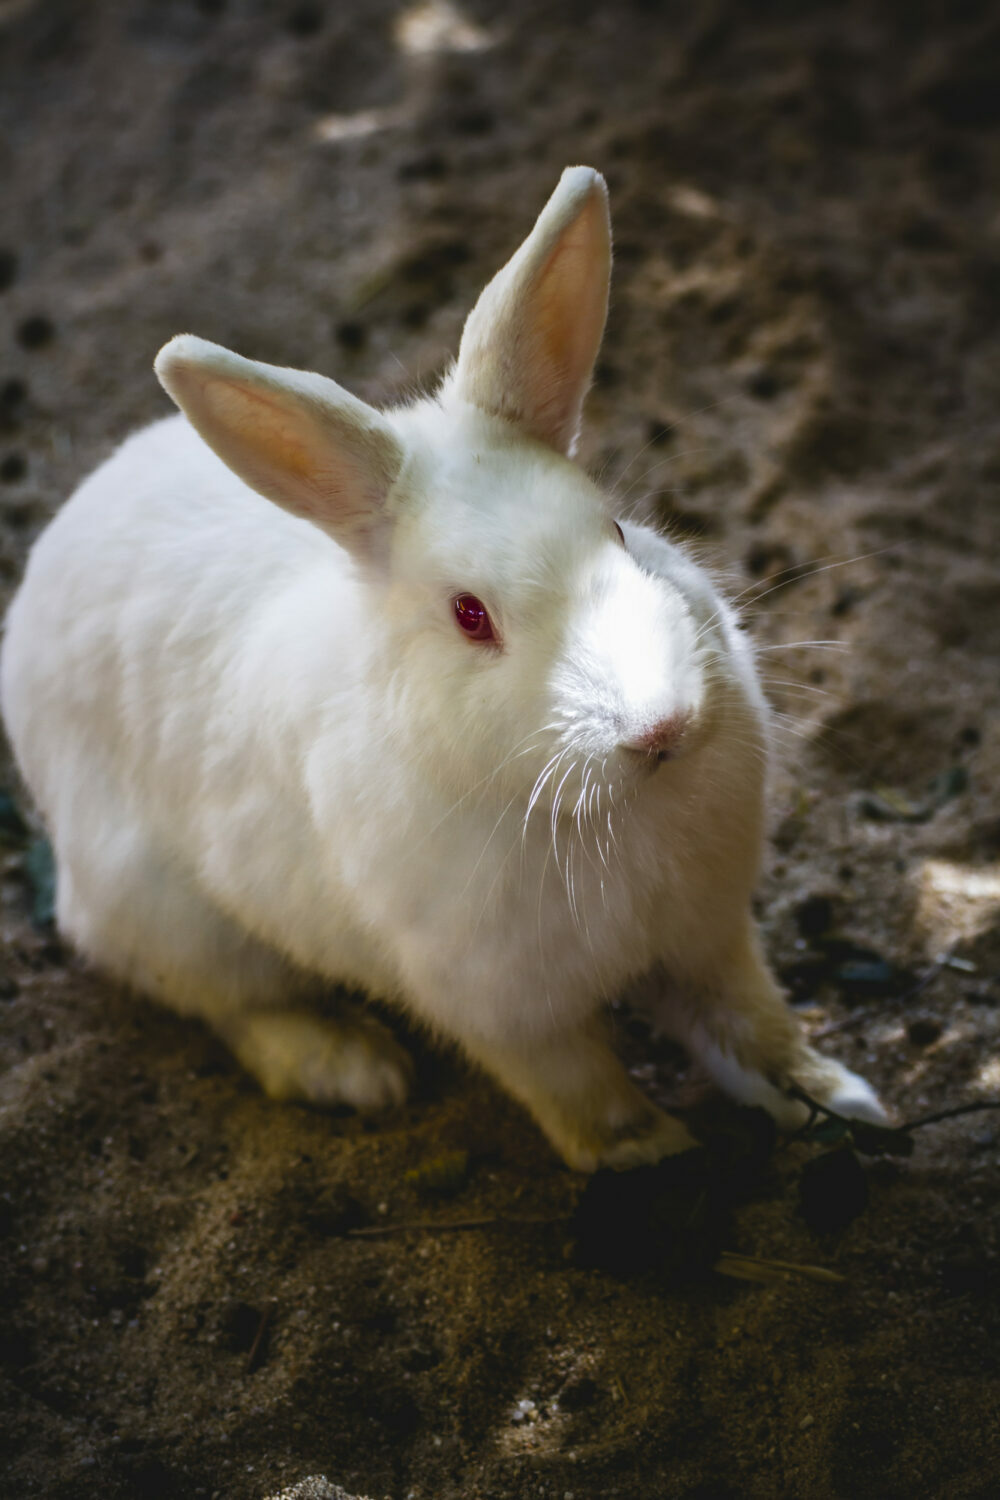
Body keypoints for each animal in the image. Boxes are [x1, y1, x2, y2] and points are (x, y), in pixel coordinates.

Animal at [0, 166, 887, 1171]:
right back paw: (352, 1067)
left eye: (619, 533)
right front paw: (654, 1154)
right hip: (174, 919)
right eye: (470, 615)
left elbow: (753, 1028)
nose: (661, 727)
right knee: (238, 1008)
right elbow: (580, 1091)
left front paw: (840, 1101)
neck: (602, 807)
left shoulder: (708, 936)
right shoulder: (503, 1008)